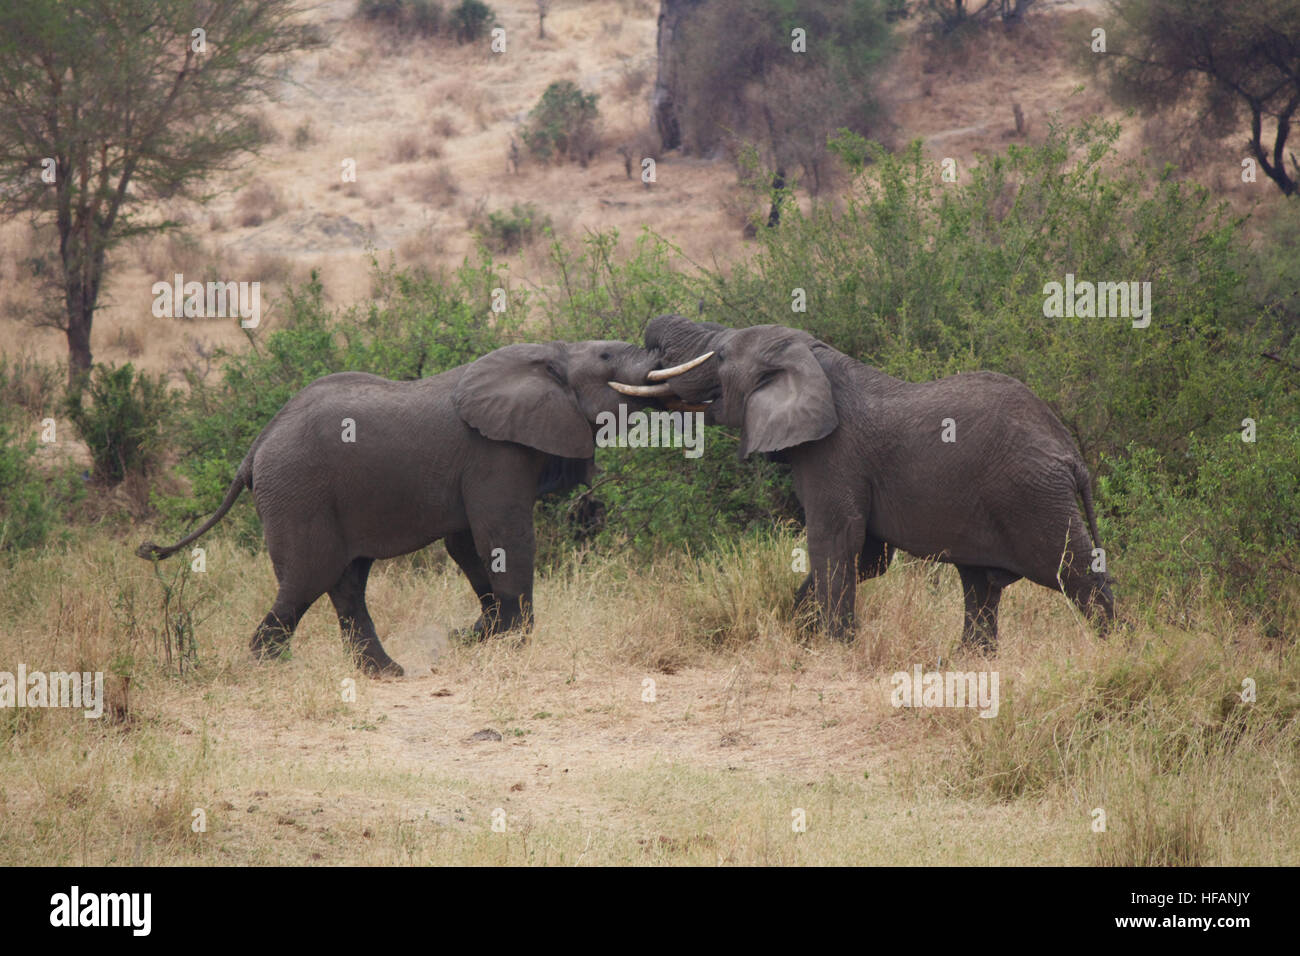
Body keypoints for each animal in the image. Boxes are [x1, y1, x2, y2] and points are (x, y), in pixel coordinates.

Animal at [136, 339, 714, 676]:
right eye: (610, 358)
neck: (549, 357)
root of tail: (255, 447)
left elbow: (468, 544)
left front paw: (474, 637)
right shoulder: (494, 454)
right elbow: (504, 536)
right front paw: (506, 643)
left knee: (347, 580)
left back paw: (384, 672)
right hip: (296, 490)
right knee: (307, 577)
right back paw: (270, 668)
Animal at [612, 315, 1114, 649]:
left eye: (718, 356)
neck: (816, 356)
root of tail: (1072, 455)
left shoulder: (834, 454)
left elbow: (834, 541)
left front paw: (833, 648)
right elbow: (868, 557)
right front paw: (801, 631)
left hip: (1032, 494)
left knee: (1077, 574)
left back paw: (1115, 649)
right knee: (979, 585)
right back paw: (970, 660)